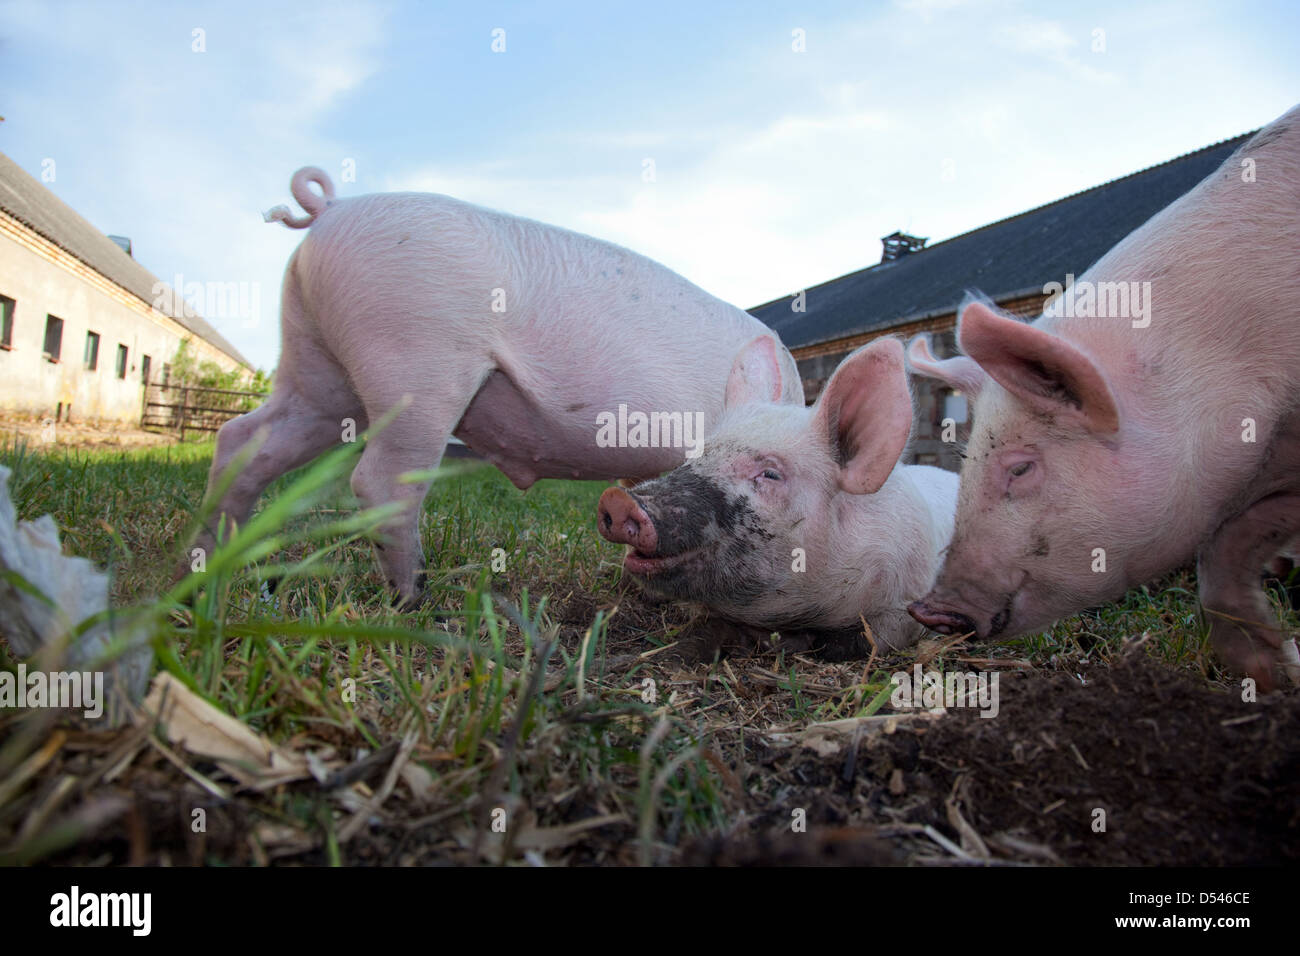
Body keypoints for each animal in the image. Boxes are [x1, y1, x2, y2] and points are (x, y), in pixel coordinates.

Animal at [192, 167, 804, 605]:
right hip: (416, 361)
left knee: (243, 441)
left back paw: (202, 577)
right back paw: (413, 598)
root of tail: (329, 209)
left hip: (317, 369)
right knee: (381, 480)